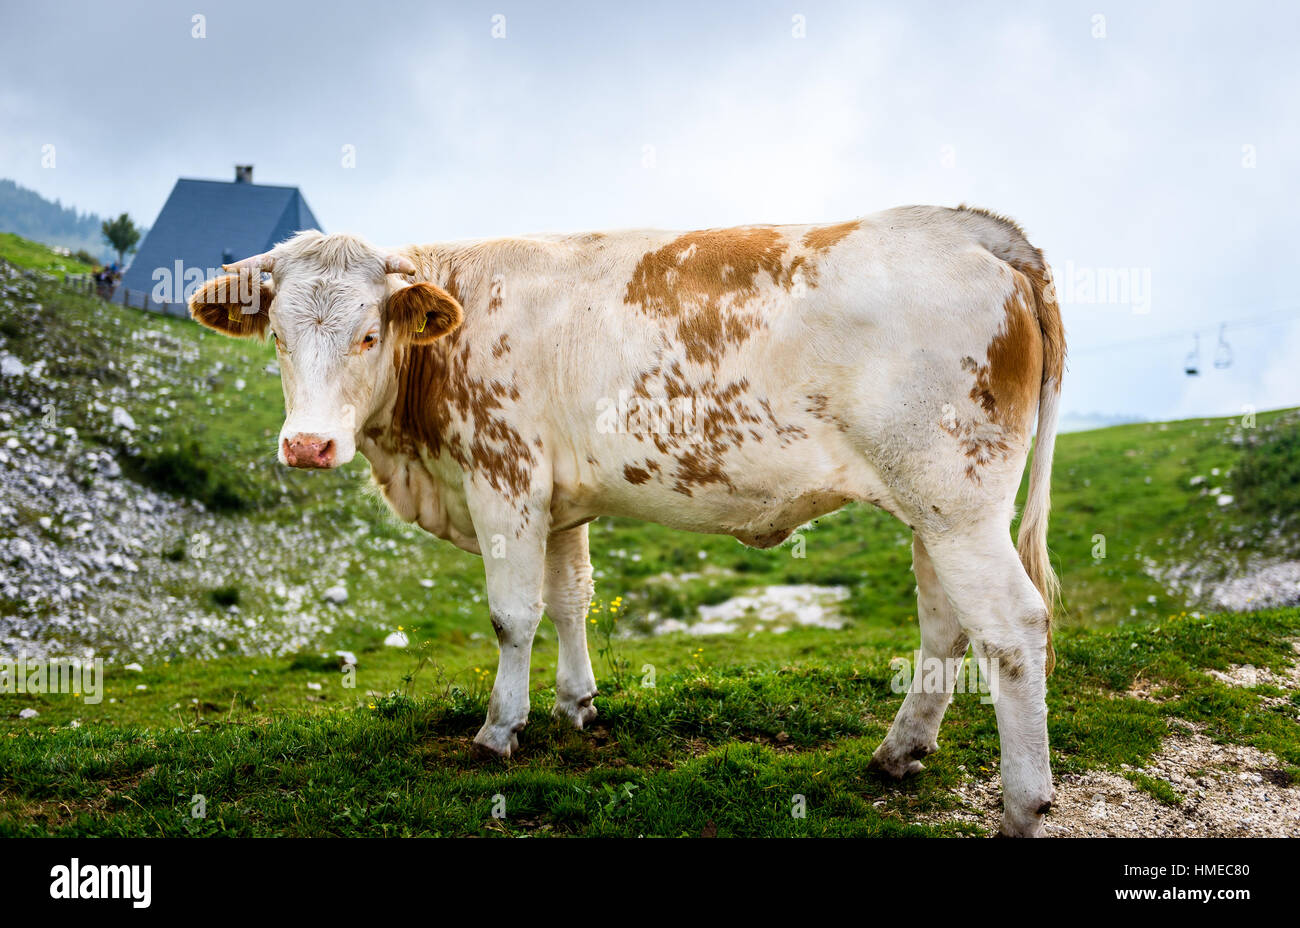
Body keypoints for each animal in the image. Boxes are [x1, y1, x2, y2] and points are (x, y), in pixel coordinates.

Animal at [189, 204, 1065, 836]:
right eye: (277, 337)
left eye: (370, 334)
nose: (306, 444)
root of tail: (969, 225)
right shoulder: (557, 500)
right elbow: (569, 600)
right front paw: (577, 707)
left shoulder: (504, 477)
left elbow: (513, 615)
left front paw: (499, 730)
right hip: (934, 510)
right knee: (945, 624)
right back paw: (897, 753)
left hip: (956, 501)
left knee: (1012, 629)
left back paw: (1023, 804)